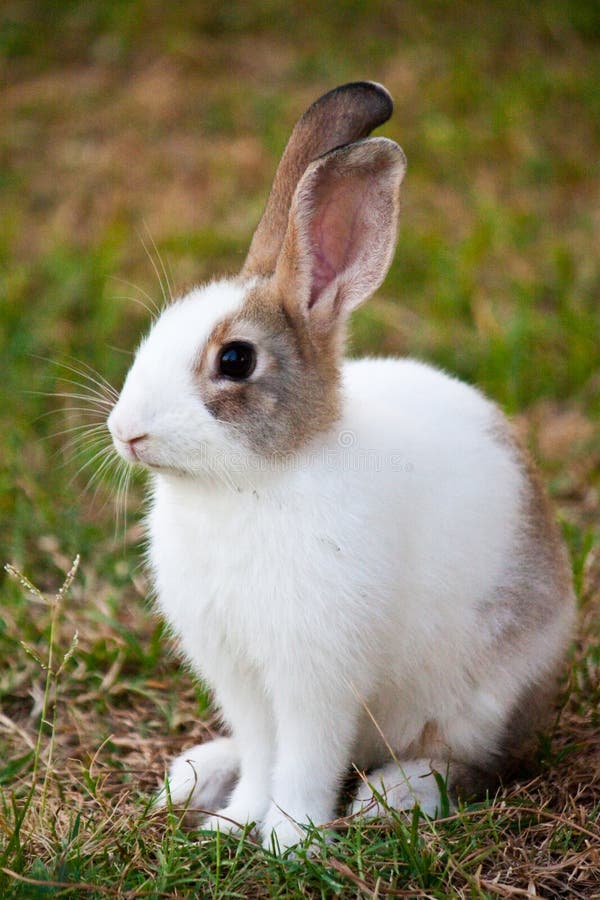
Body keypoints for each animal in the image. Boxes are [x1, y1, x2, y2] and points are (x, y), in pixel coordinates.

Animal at [106, 82, 575, 852]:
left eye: (235, 358)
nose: (126, 432)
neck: (248, 485)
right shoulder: (242, 678)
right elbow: (264, 755)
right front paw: (234, 827)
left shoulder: (317, 675)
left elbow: (304, 760)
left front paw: (288, 842)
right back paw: (196, 778)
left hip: (478, 703)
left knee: (465, 762)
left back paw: (393, 799)